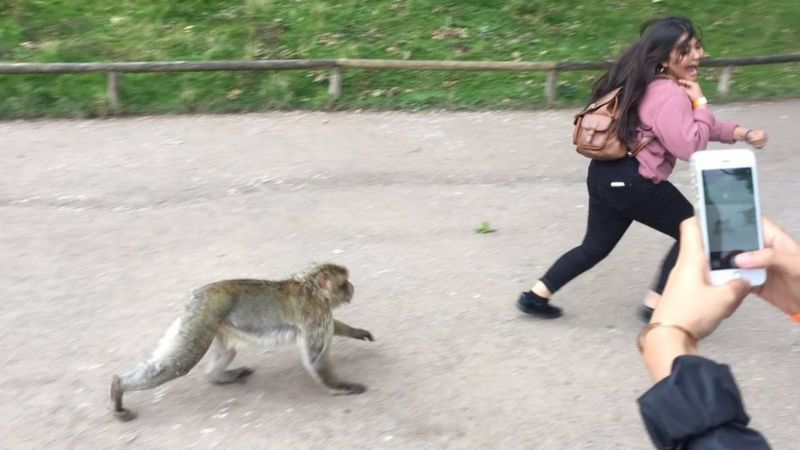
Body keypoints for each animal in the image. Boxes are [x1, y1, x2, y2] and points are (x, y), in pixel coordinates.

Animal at [110, 263, 373, 421]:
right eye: (344, 283)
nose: (352, 287)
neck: (313, 289)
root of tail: (198, 294)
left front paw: (355, 331)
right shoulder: (316, 314)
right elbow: (316, 360)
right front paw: (340, 388)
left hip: (215, 324)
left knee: (225, 353)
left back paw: (218, 376)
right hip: (202, 317)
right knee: (177, 364)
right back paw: (118, 387)